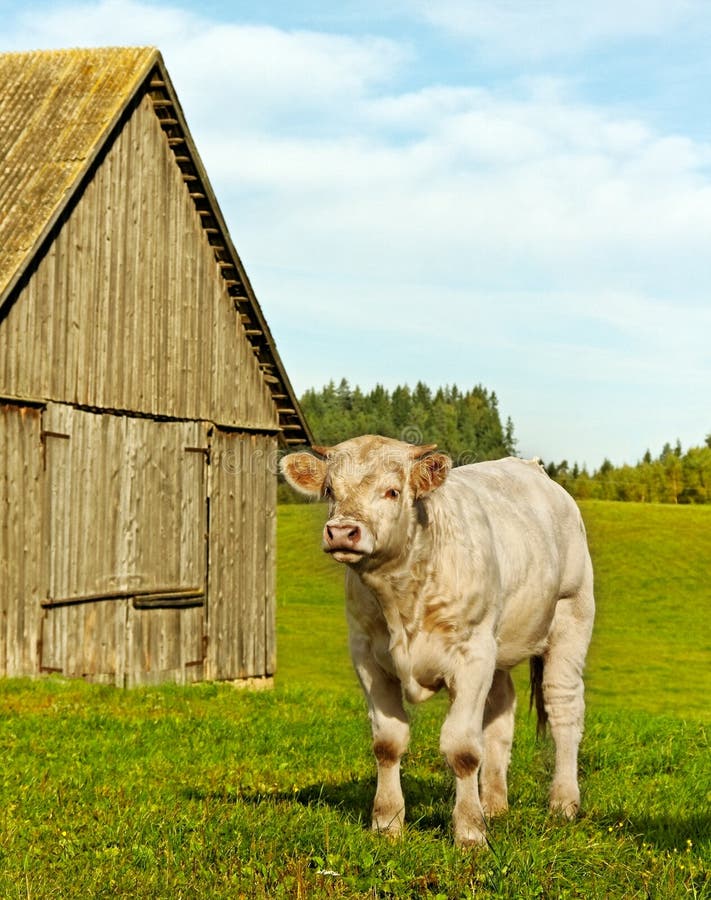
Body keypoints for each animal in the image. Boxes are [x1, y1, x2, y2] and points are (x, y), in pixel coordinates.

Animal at [280, 435, 595, 847]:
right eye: (331, 490)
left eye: (393, 491)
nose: (342, 531)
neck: (400, 598)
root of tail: (533, 468)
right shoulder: (366, 656)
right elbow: (388, 743)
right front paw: (387, 822)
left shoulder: (471, 655)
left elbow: (462, 749)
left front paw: (470, 832)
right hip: (498, 646)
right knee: (500, 717)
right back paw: (494, 804)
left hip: (571, 618)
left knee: (563, 710)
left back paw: (563, 803)